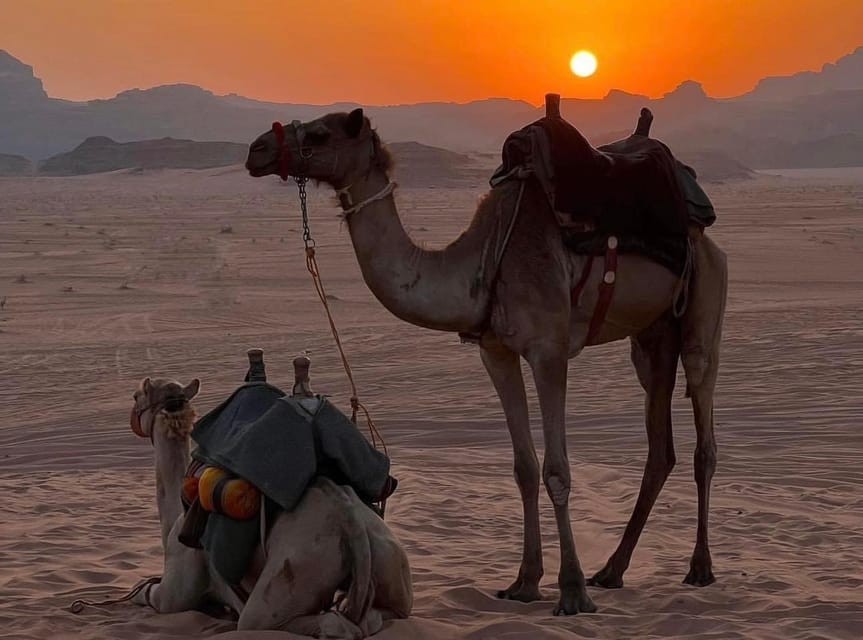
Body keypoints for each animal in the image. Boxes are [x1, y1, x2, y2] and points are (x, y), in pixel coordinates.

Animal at [129, 376, 412, 637]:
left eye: (136, 395)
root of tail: (352, 523)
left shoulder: (175, 590)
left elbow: (145, 592)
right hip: (389, 558)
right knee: (380, 615)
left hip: (294, 571)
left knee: (278, 622)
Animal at [245, 108, 727, 615]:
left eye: (320, 133)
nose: (257, 150)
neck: (485, 257)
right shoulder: (495, 352)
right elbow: (524, 469)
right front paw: (525, 583)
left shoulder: (549, 350)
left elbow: (557, 471)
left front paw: (571, 590)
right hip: (652, 336)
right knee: (660, 443)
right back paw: (612, 570)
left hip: (706, 295)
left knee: (703, 426)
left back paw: (699, 568)